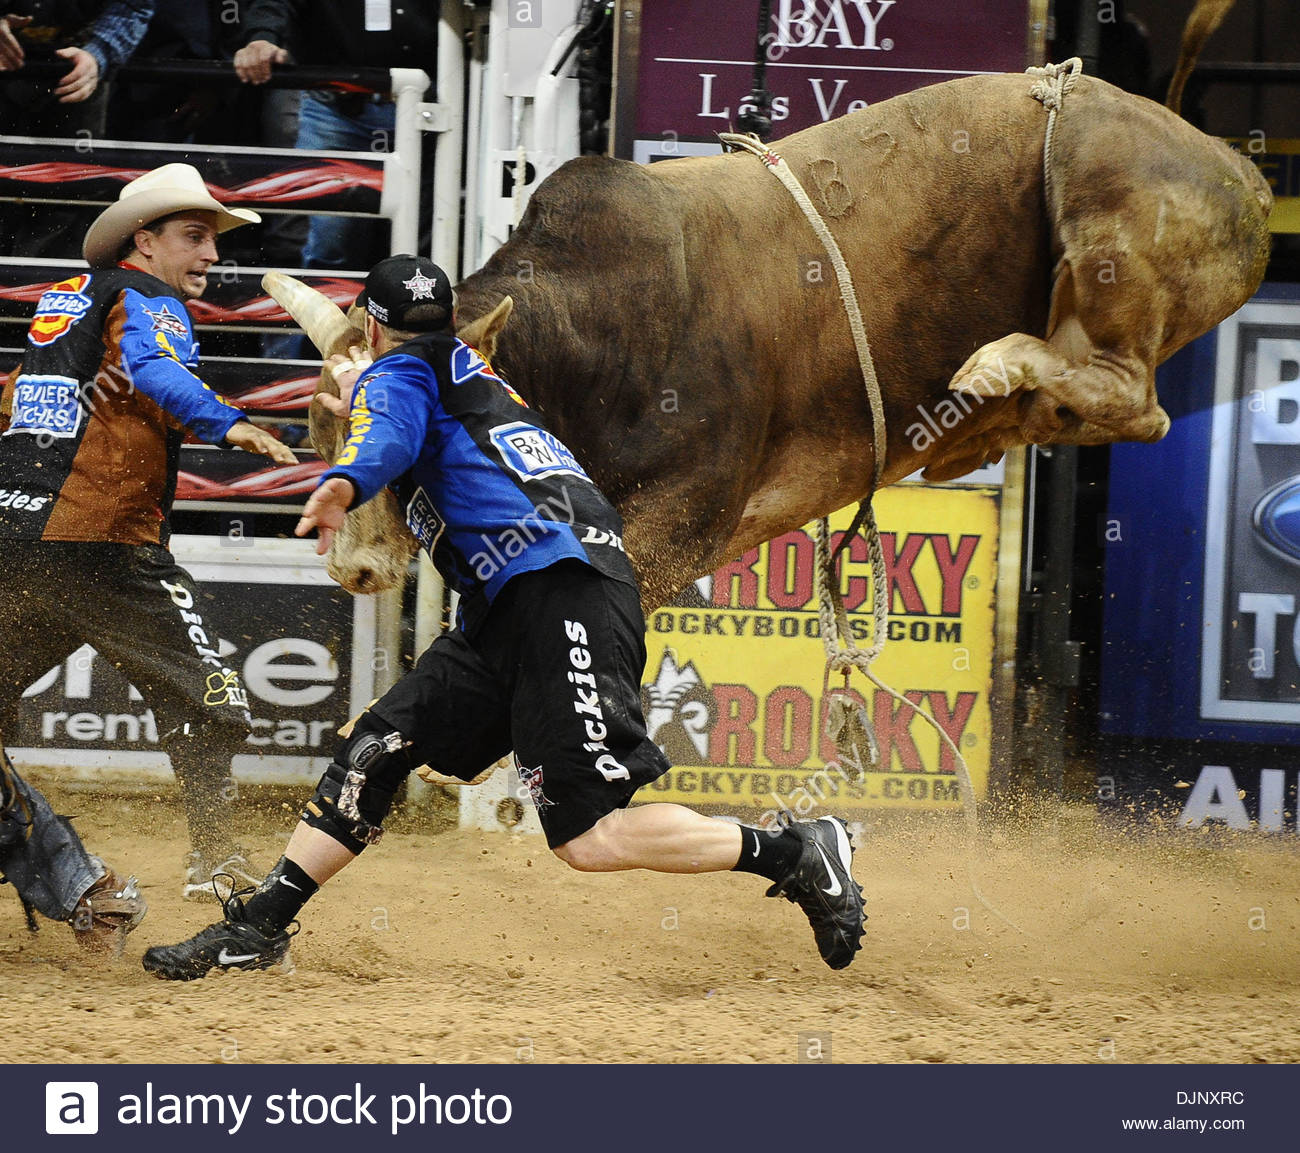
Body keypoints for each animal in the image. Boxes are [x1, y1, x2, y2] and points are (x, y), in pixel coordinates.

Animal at [285, 60, 1270, 612]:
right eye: (319, 431)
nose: (354, 568)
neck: (606, 332)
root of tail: (1239, 172)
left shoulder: (682, 519)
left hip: (1106, 221)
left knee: (1136, 397)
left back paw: (1000, 368)